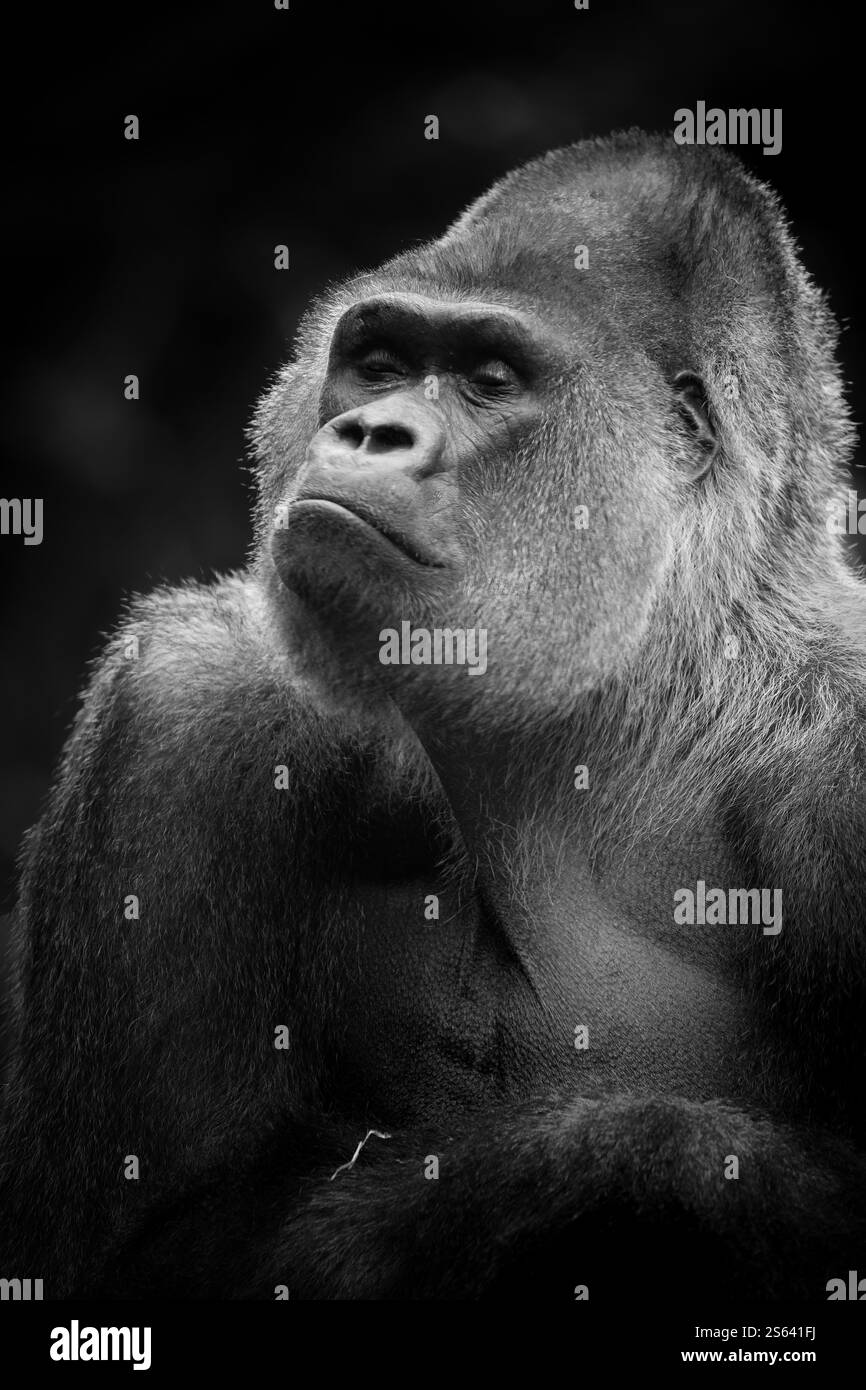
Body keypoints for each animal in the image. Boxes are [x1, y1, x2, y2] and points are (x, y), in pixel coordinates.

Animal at [1, 130, 864, 1301]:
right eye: (379, 363)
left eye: (489, 381)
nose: (370, 429)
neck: (633, 690)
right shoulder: (181, 711)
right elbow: (137, 1242)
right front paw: (634, 1165)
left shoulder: (844, 767)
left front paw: (665, 1171)